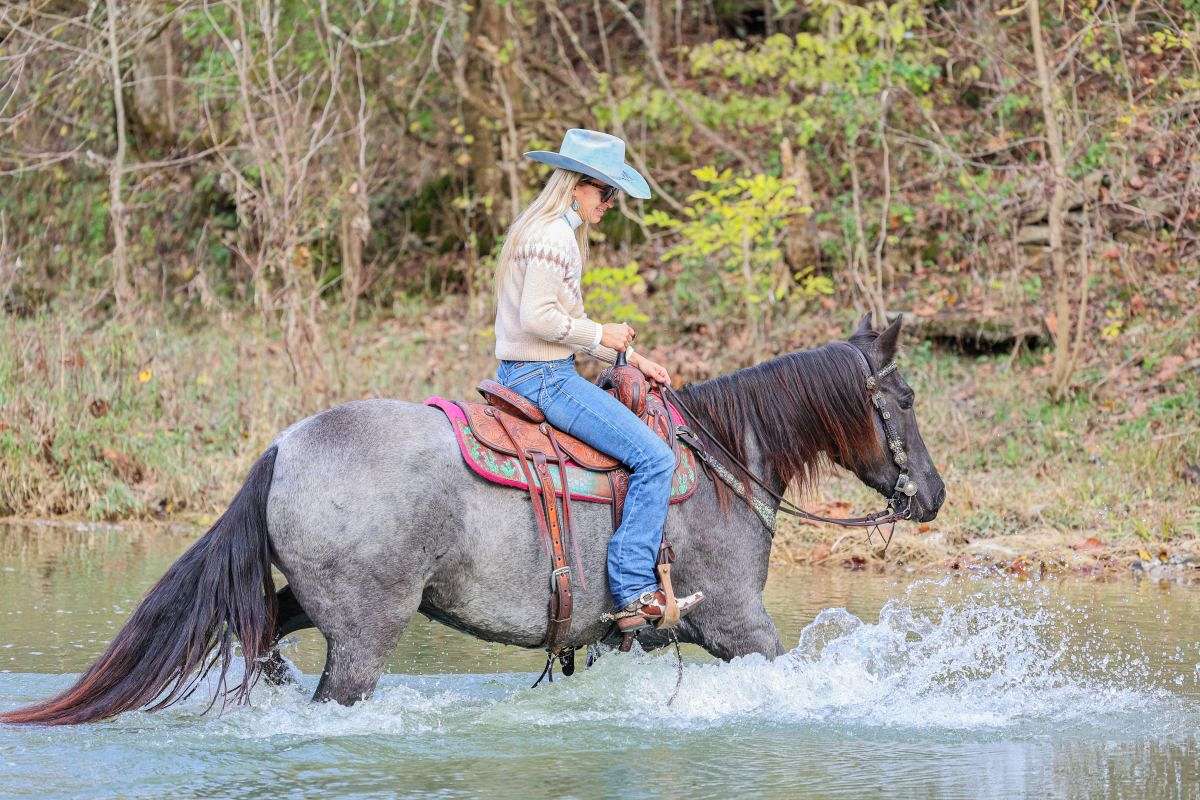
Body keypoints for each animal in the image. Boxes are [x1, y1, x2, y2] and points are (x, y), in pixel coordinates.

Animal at [0, 315, 944, 725]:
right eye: (902, 396)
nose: (932, 495)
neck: (718, 462)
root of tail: (284, 447)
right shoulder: (739, 625)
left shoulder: (624, 638)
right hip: (366, 632)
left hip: (312, 602)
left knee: (259, 630)